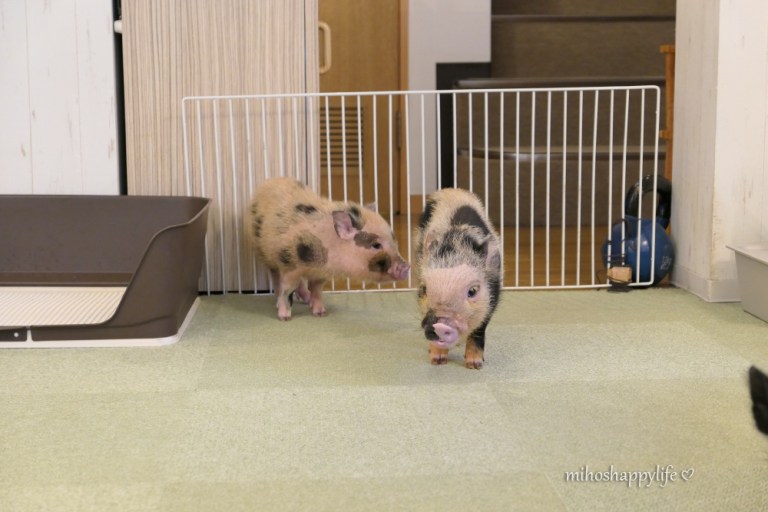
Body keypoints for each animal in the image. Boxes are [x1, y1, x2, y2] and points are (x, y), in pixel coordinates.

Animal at [249, 177, 410, 320]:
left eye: (393, 239)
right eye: (376, 245)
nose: (406, 266)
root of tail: (266, 184)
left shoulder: (321, 273)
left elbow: (316, 290)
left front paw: (320, 313)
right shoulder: (290, 264)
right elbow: (287, 289)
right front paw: (284, 317)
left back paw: (306, 299)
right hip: (267, 256)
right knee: (277, 279)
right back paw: (278, 303)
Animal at [415, 188, 502, 369]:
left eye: (473, 291)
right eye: (424, 289)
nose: (439, 324)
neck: (457, 243)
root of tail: (450, 189)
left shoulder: (492, 295)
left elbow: (479, 329)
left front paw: (475, 365)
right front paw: (437, 361)